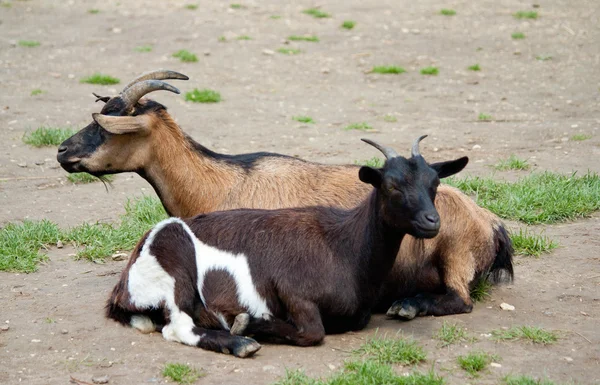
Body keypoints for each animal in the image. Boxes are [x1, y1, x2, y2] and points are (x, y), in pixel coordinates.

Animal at [58, 70, 512, 320]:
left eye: (104, 125)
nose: (62, 151)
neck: (219, 182)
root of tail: (490, 223)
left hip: (454, 253)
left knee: (458, 298)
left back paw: (407, 305)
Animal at [106, 136, 468, 356]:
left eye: (434, 183)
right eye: (391, 185)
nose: (432, 221)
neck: (344, 246)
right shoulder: (294, 293)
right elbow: (312, 333)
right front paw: (247, 323)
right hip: (176, 271)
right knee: (179, 326)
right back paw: (241, 343)